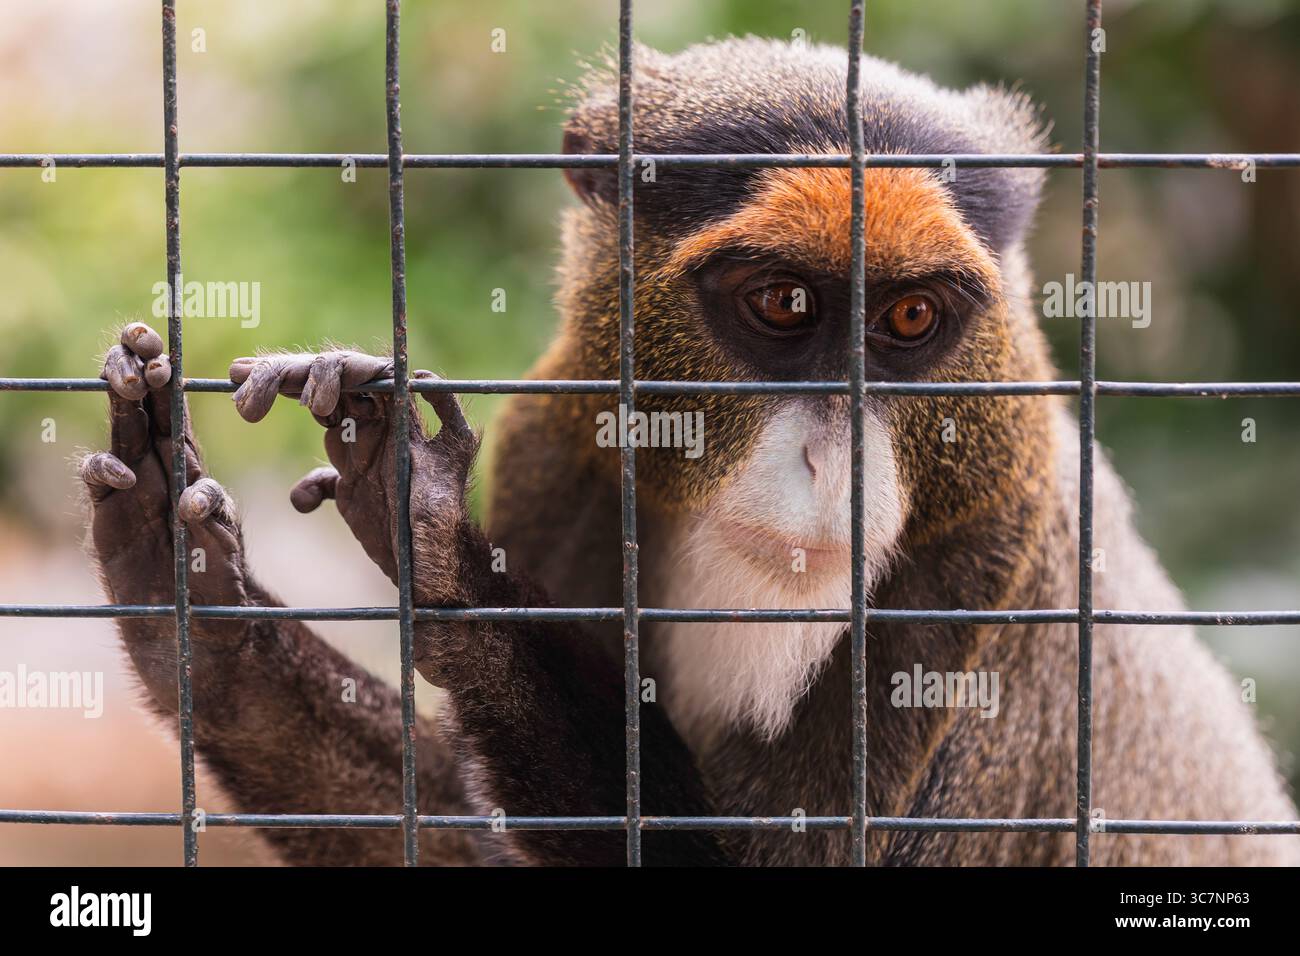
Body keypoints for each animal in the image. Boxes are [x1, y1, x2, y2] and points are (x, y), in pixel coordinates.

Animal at [82, 38, 1299, 866]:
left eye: (910, 318)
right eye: (785, 301)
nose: (836, 467)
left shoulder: (991, 550)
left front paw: (436, 552)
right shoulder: (556, 458)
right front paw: (198, 613)